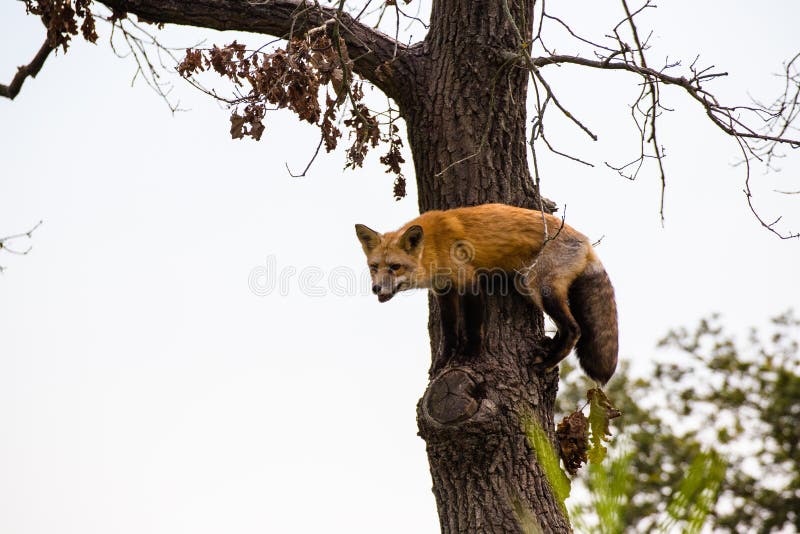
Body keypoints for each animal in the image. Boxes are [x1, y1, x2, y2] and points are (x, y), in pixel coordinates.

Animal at [355, 203, 618, 384]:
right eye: (374, 267)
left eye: (395, 267)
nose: (376, 288)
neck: (434, 246)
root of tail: (586, 242)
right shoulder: (444, 290)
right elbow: (449, 332)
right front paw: (443, 361)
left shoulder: (470, 281)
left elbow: (472, 327)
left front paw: (470, 356)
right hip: (527, 285)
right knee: (565, 328)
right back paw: (548, 350)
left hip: (538, 285)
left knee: (574, 329)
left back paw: (547, 362)